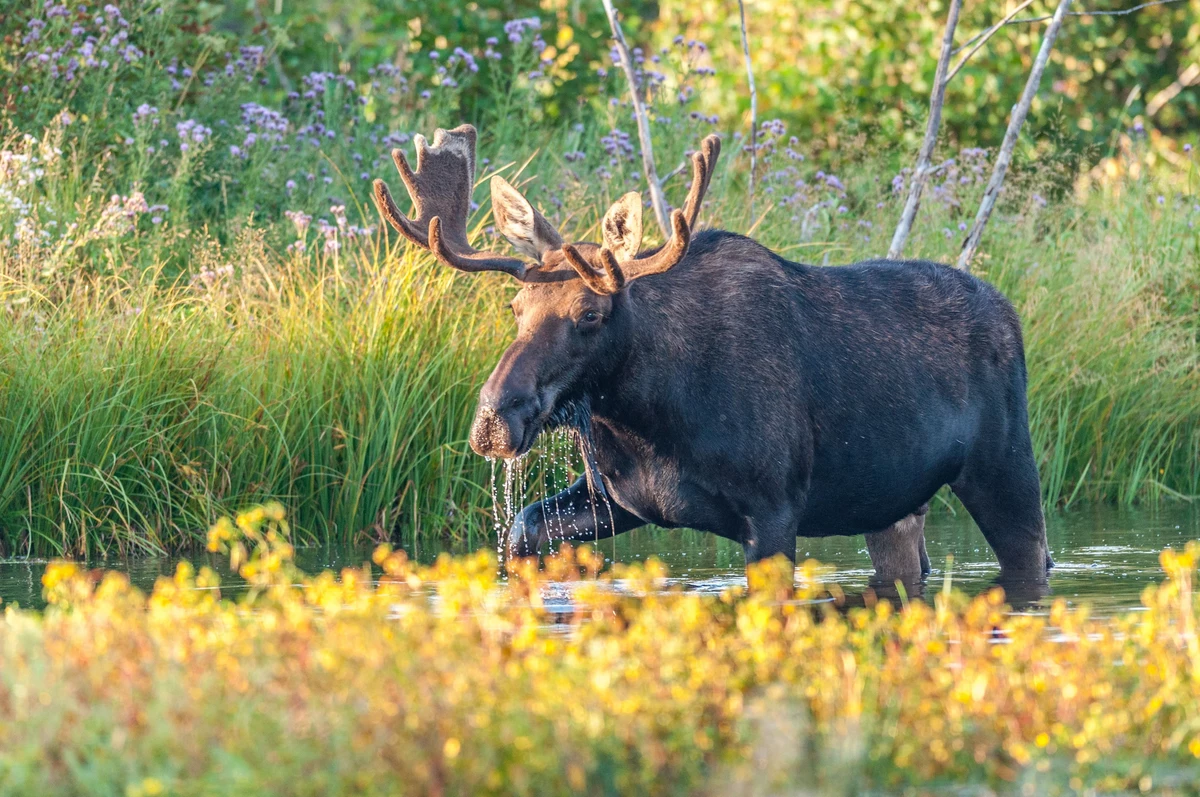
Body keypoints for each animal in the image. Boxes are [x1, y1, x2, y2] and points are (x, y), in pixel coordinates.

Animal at [372, 124, 1051, 589]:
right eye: (516, 308)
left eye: (590, 315)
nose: (494, 418)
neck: (648, 414)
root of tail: (1011, 312)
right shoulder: (621, 497)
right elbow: (523, 529)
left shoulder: (775, 506)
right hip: (893, 501)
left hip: (1005, 465)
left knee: (1033, 557)